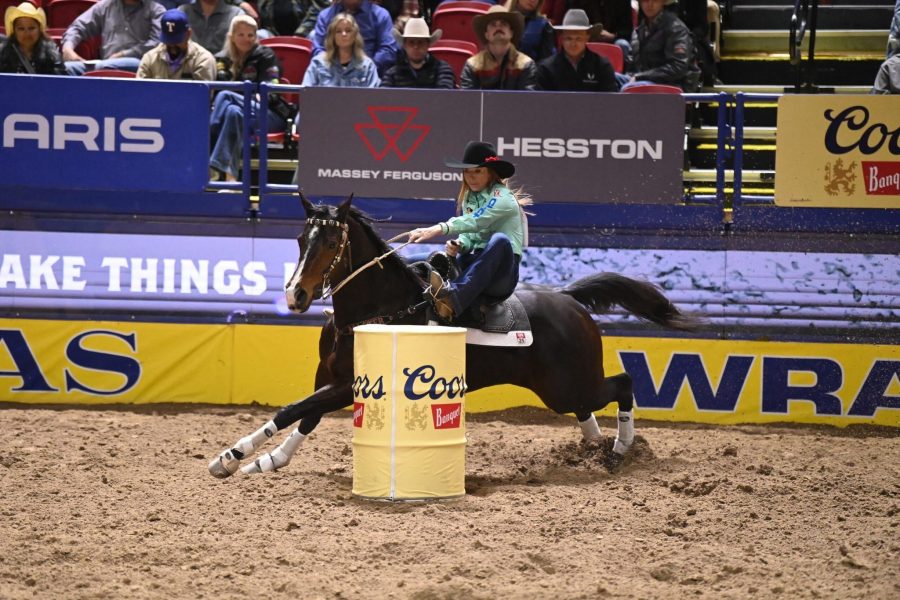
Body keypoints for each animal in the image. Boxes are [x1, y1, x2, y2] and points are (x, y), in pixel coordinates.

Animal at [208, 193, 696, 479]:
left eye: (330, 244)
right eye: (298, 239)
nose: (296, 295)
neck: (379, 307)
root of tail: (568, 299)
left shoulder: (349, 384)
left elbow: (293, 409)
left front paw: (233, 455)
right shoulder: (327, 377)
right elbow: (305, 415)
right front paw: (264, 459)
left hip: (570, 384)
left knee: (623, 384)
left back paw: (618, 449)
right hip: (563, 389)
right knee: (590, 405)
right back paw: (594, 444)